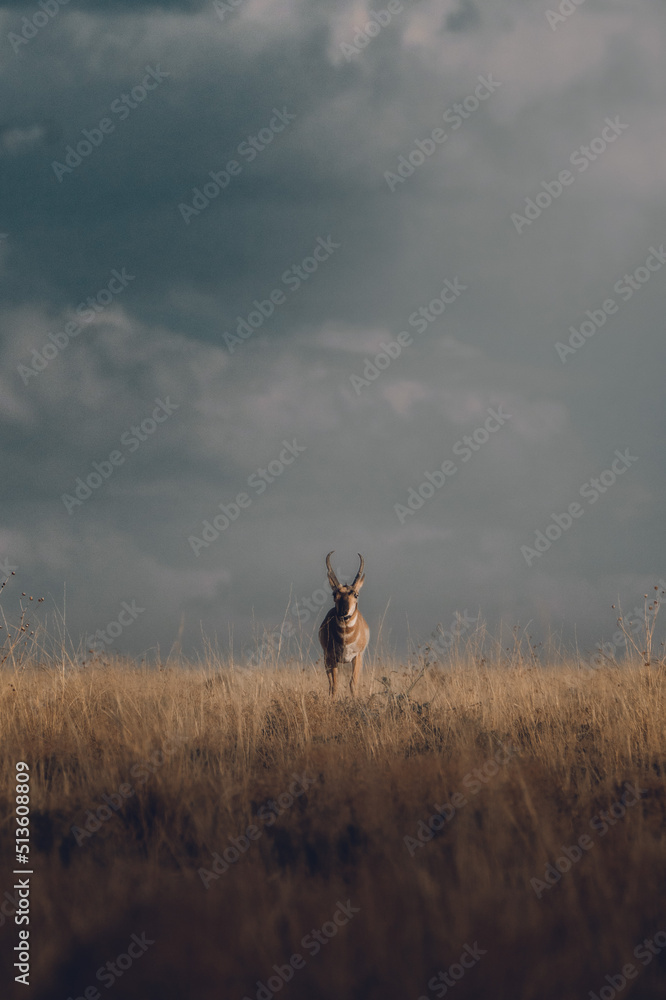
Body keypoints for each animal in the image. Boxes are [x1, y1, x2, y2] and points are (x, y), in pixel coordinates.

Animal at [318, 551, 369, 697]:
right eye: (334, 594)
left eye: (356, 594)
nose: (343, 612)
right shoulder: (331, 658)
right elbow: (335, 685)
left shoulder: (357, 657)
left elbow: (353, 684)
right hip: (327, 660)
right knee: (331, 685)